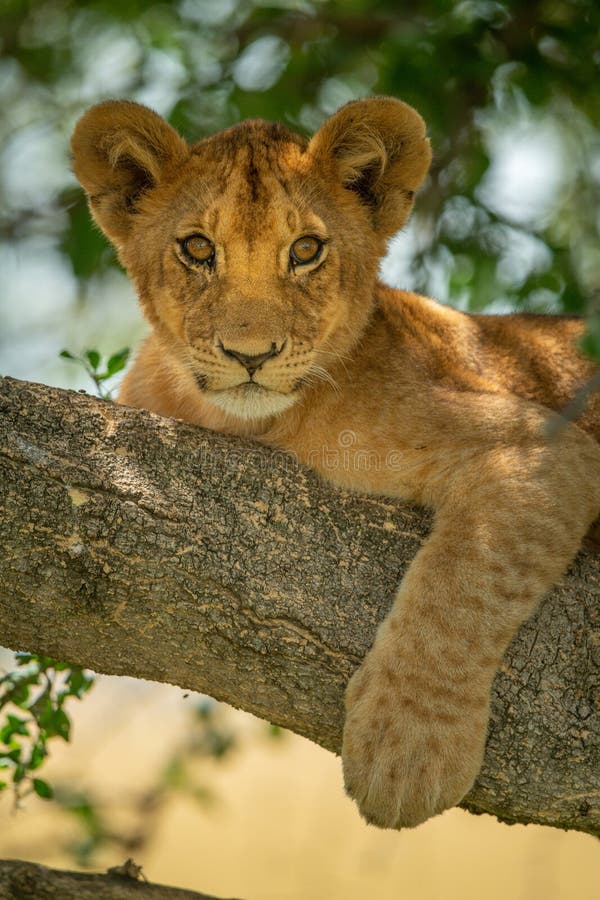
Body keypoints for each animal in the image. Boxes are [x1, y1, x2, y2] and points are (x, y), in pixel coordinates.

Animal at [71, 96, 600, 829]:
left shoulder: (542, 445)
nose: (251, 354)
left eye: (306, 250)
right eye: (198, 248)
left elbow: (462, 584)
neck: (248, 421)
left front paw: (408, 750)